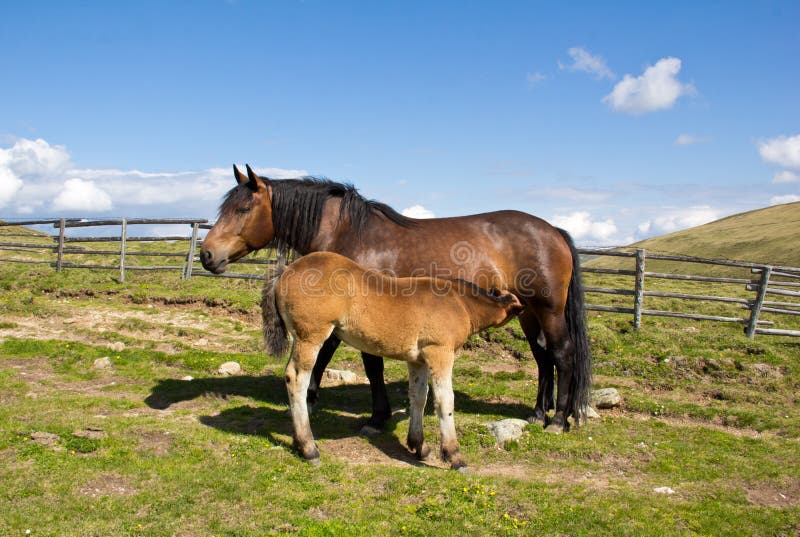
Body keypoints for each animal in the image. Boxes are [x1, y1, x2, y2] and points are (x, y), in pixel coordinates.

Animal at [201, 164, 591, 434]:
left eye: (242, 209)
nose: (207, 255)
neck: (349, 234)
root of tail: (553, 230)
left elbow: (368, 366)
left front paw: (375, 417)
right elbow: (325, 357)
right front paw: (308, 400)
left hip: (549, 311)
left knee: (562, 354)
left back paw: (559, 420)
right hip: (528, 314)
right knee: (542, 359)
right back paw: (538, 413)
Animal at [262, 250, 524, 468]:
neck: (459, 302)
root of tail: (285, 271)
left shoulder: (418, 360)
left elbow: (419, 398)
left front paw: (419, 446)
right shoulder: (439, 352)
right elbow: (444, 401)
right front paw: (454, 455)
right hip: (311, 336)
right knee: (296, 379)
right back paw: (309, 448)